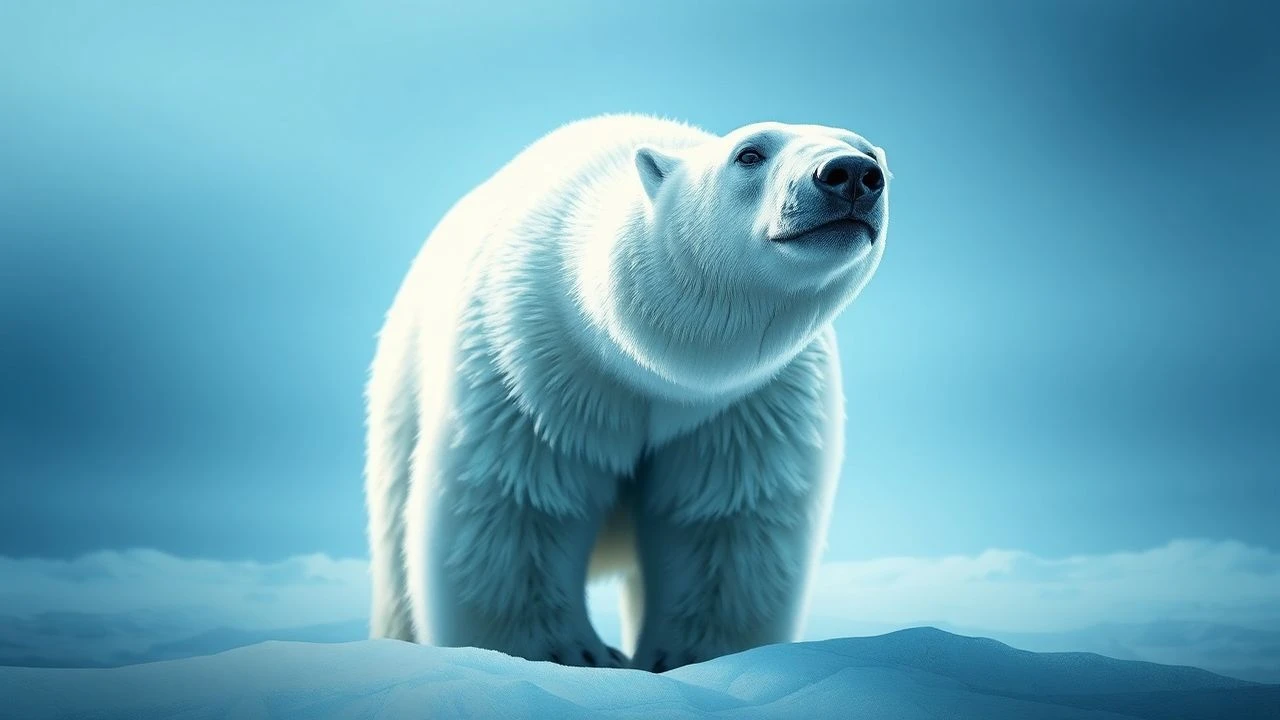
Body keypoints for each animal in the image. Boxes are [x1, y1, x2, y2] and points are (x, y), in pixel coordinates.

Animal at [364, 114, 890, 671]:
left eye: (867, 151)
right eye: (749, 153)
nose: (851, 174)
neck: (652, 367)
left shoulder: (748, 405)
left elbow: (723, 520)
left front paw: (680, 658)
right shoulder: (527, 368)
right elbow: (519, 504)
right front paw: (575, 655)